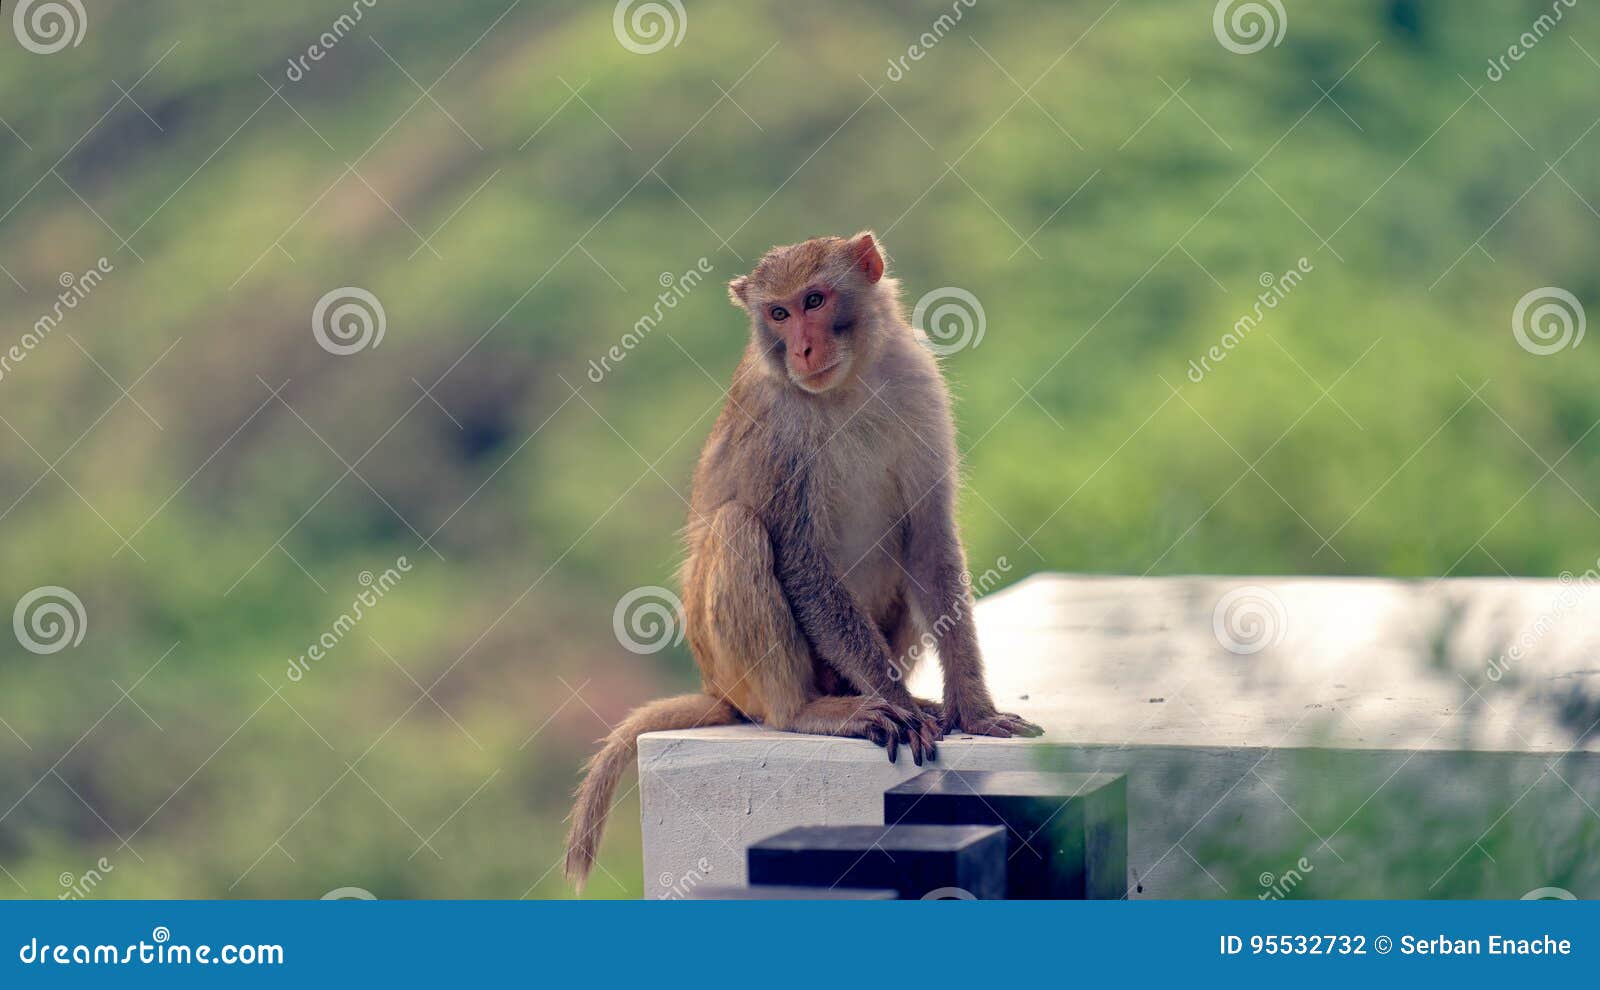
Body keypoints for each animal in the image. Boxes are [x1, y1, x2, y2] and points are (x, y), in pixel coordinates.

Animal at [564, 231, 1042, 891]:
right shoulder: (775, 421)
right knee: (739, 529)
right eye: (778, 313)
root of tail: (718, 689)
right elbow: (798, 559)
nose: (802, 347)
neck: (849, 385)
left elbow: (928, 543)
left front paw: (972, 709)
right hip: (734, 668)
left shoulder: (919, 383)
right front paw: (897, 705)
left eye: (814, 299)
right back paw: (811, 711)